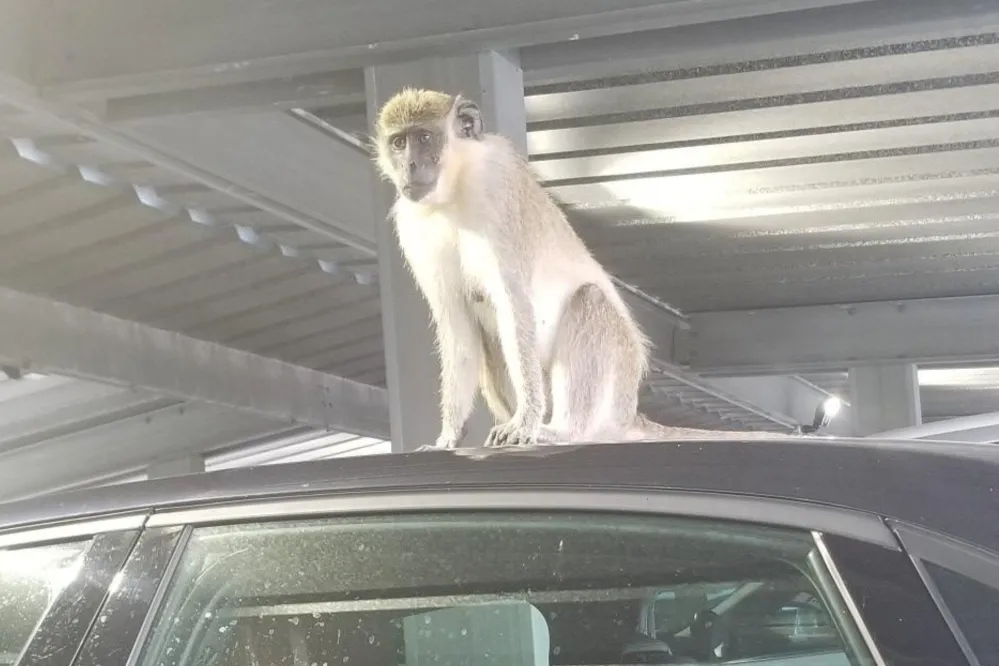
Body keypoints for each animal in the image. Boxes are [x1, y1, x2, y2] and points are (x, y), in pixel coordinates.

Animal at [371, 88, 792, 449]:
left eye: (424, 137)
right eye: (398, 142)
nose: (409, 166)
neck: (454, 193)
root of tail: (629, 414)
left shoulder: (497, 191)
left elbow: (514, 306)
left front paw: (525, 421)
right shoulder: (413, 227)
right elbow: (457, 324)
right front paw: (446, 437)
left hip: (616, 375)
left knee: (589, 300)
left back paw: (562, 430)